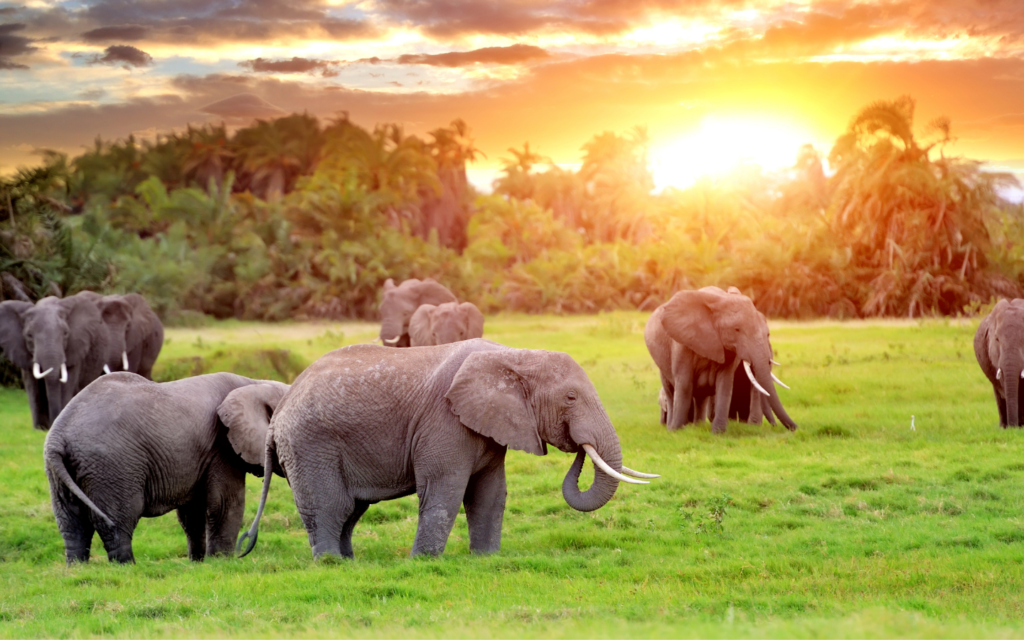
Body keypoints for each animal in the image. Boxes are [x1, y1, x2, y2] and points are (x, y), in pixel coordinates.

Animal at [0, 292, 110, 430]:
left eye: (66, 333)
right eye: (29, 335)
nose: (52, 423)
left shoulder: (75, 347)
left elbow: (66, 383)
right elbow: (33, 387)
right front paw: (39, 428)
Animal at [44, 371, 289, 564]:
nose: (243, 550)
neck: (254, 383)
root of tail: (58, 437)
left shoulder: (202, 455)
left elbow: (193, 512)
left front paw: (198, 563)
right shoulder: (221, 448)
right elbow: (225, 504)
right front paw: (222, 562)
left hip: (60, 473)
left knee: (71, 523)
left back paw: (77, 568)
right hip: (112, 467)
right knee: (117, 520)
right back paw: (127, 567)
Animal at [237, 339, 657, 560]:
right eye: (570, 397)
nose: (579, 448)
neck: (514, 355)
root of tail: (279, 413)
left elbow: (490, 494)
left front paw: (485, 559)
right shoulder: (445, 422)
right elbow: (446, 490)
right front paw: (423, 563)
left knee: (351, 510)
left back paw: (350, 562)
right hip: (309, 444)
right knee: (331, 505)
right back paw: (330, 564)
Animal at [645, 286, 797, 434]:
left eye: (768, 334)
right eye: (736, 329)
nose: (796, 428)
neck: (720, 300)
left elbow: (725, 383)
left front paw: (718, 433)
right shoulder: (682, 343)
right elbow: (684, 383)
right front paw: (678, 431)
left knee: (701, 397)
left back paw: (698, 427)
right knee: (671, 391)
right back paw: (672, 428)